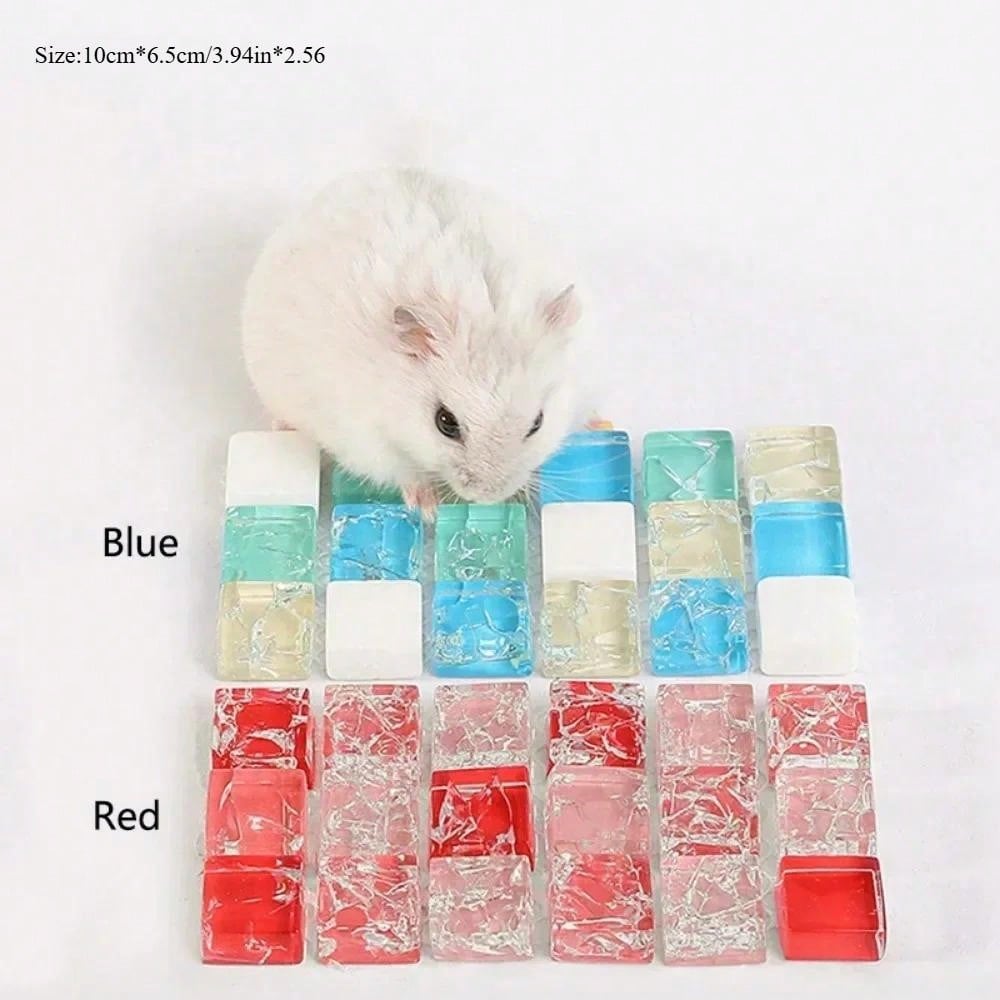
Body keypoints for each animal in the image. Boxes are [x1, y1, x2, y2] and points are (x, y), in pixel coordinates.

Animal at [241, 168, 586, 517]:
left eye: (538, 423)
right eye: (445, 422)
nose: (487, 497)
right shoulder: (367, 440)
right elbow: (405, 471)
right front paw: (428, 510)